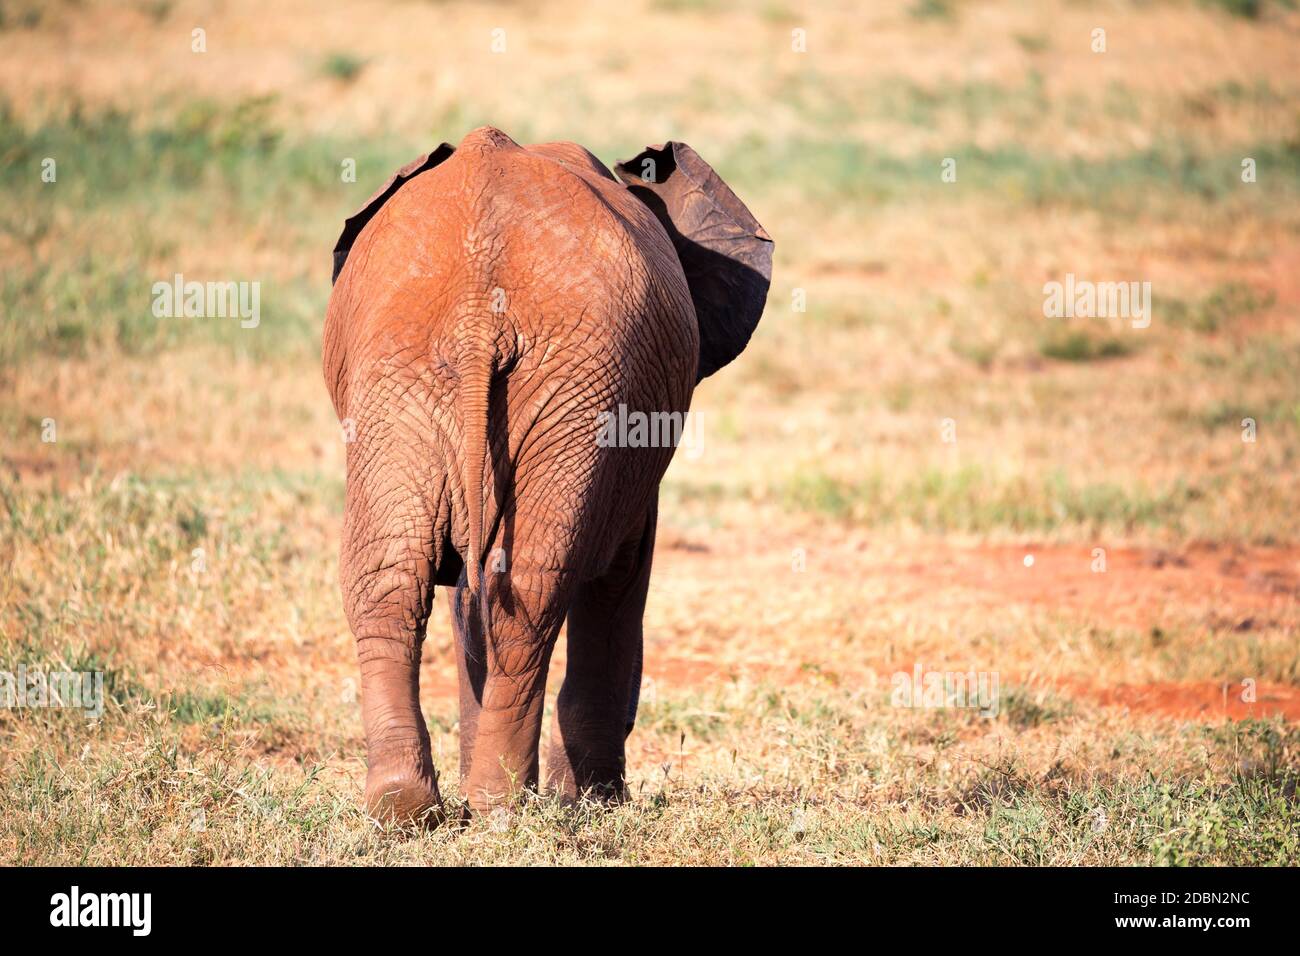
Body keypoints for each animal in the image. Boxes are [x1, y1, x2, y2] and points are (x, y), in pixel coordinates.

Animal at [323, 126, 772, 823]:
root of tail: (478, 312)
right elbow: (620, 576)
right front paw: (597, 801)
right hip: (544, 384)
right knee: (523, 584)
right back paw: (492, 806)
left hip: (425, 378)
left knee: (401, 580)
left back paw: (422, 808)